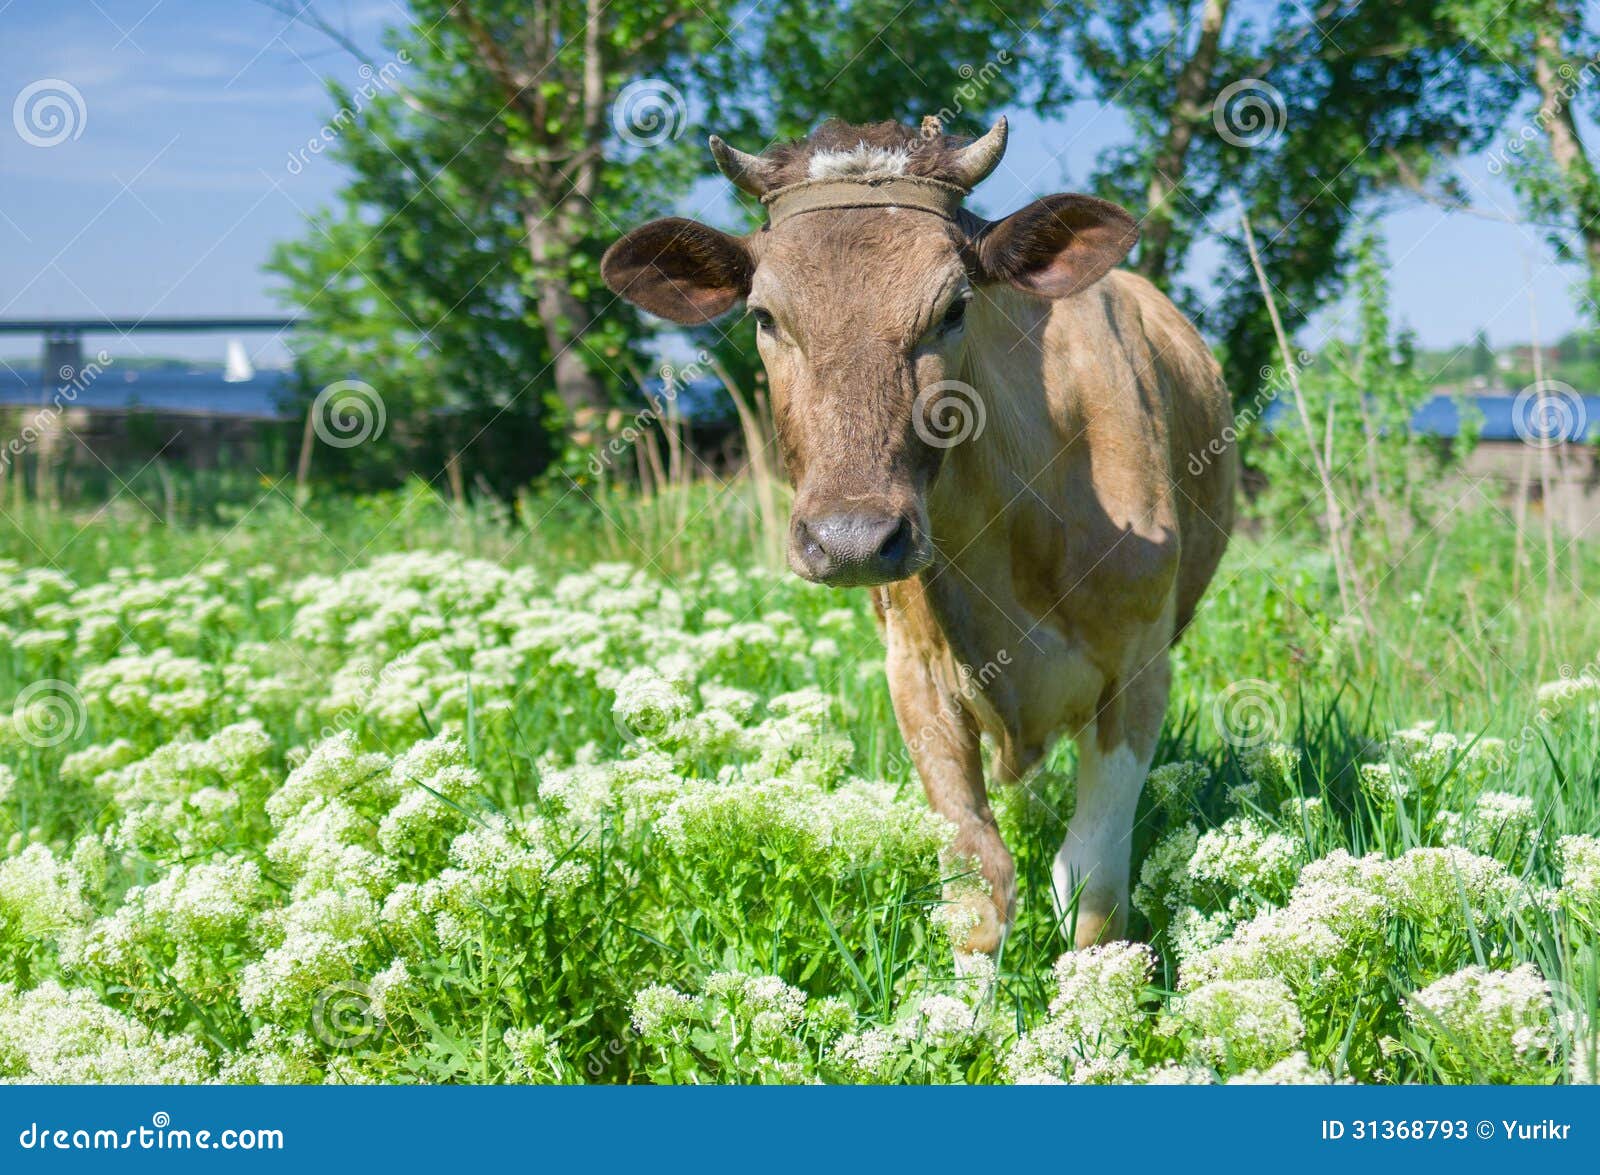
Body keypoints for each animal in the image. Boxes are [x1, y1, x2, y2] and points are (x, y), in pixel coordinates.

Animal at [601, 117, 1236, 957]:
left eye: (954, 306)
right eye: (765, 316)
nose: (850, 539)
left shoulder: (1139, 672)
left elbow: (1091, 886)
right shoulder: (914, 674)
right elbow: (976, 877)